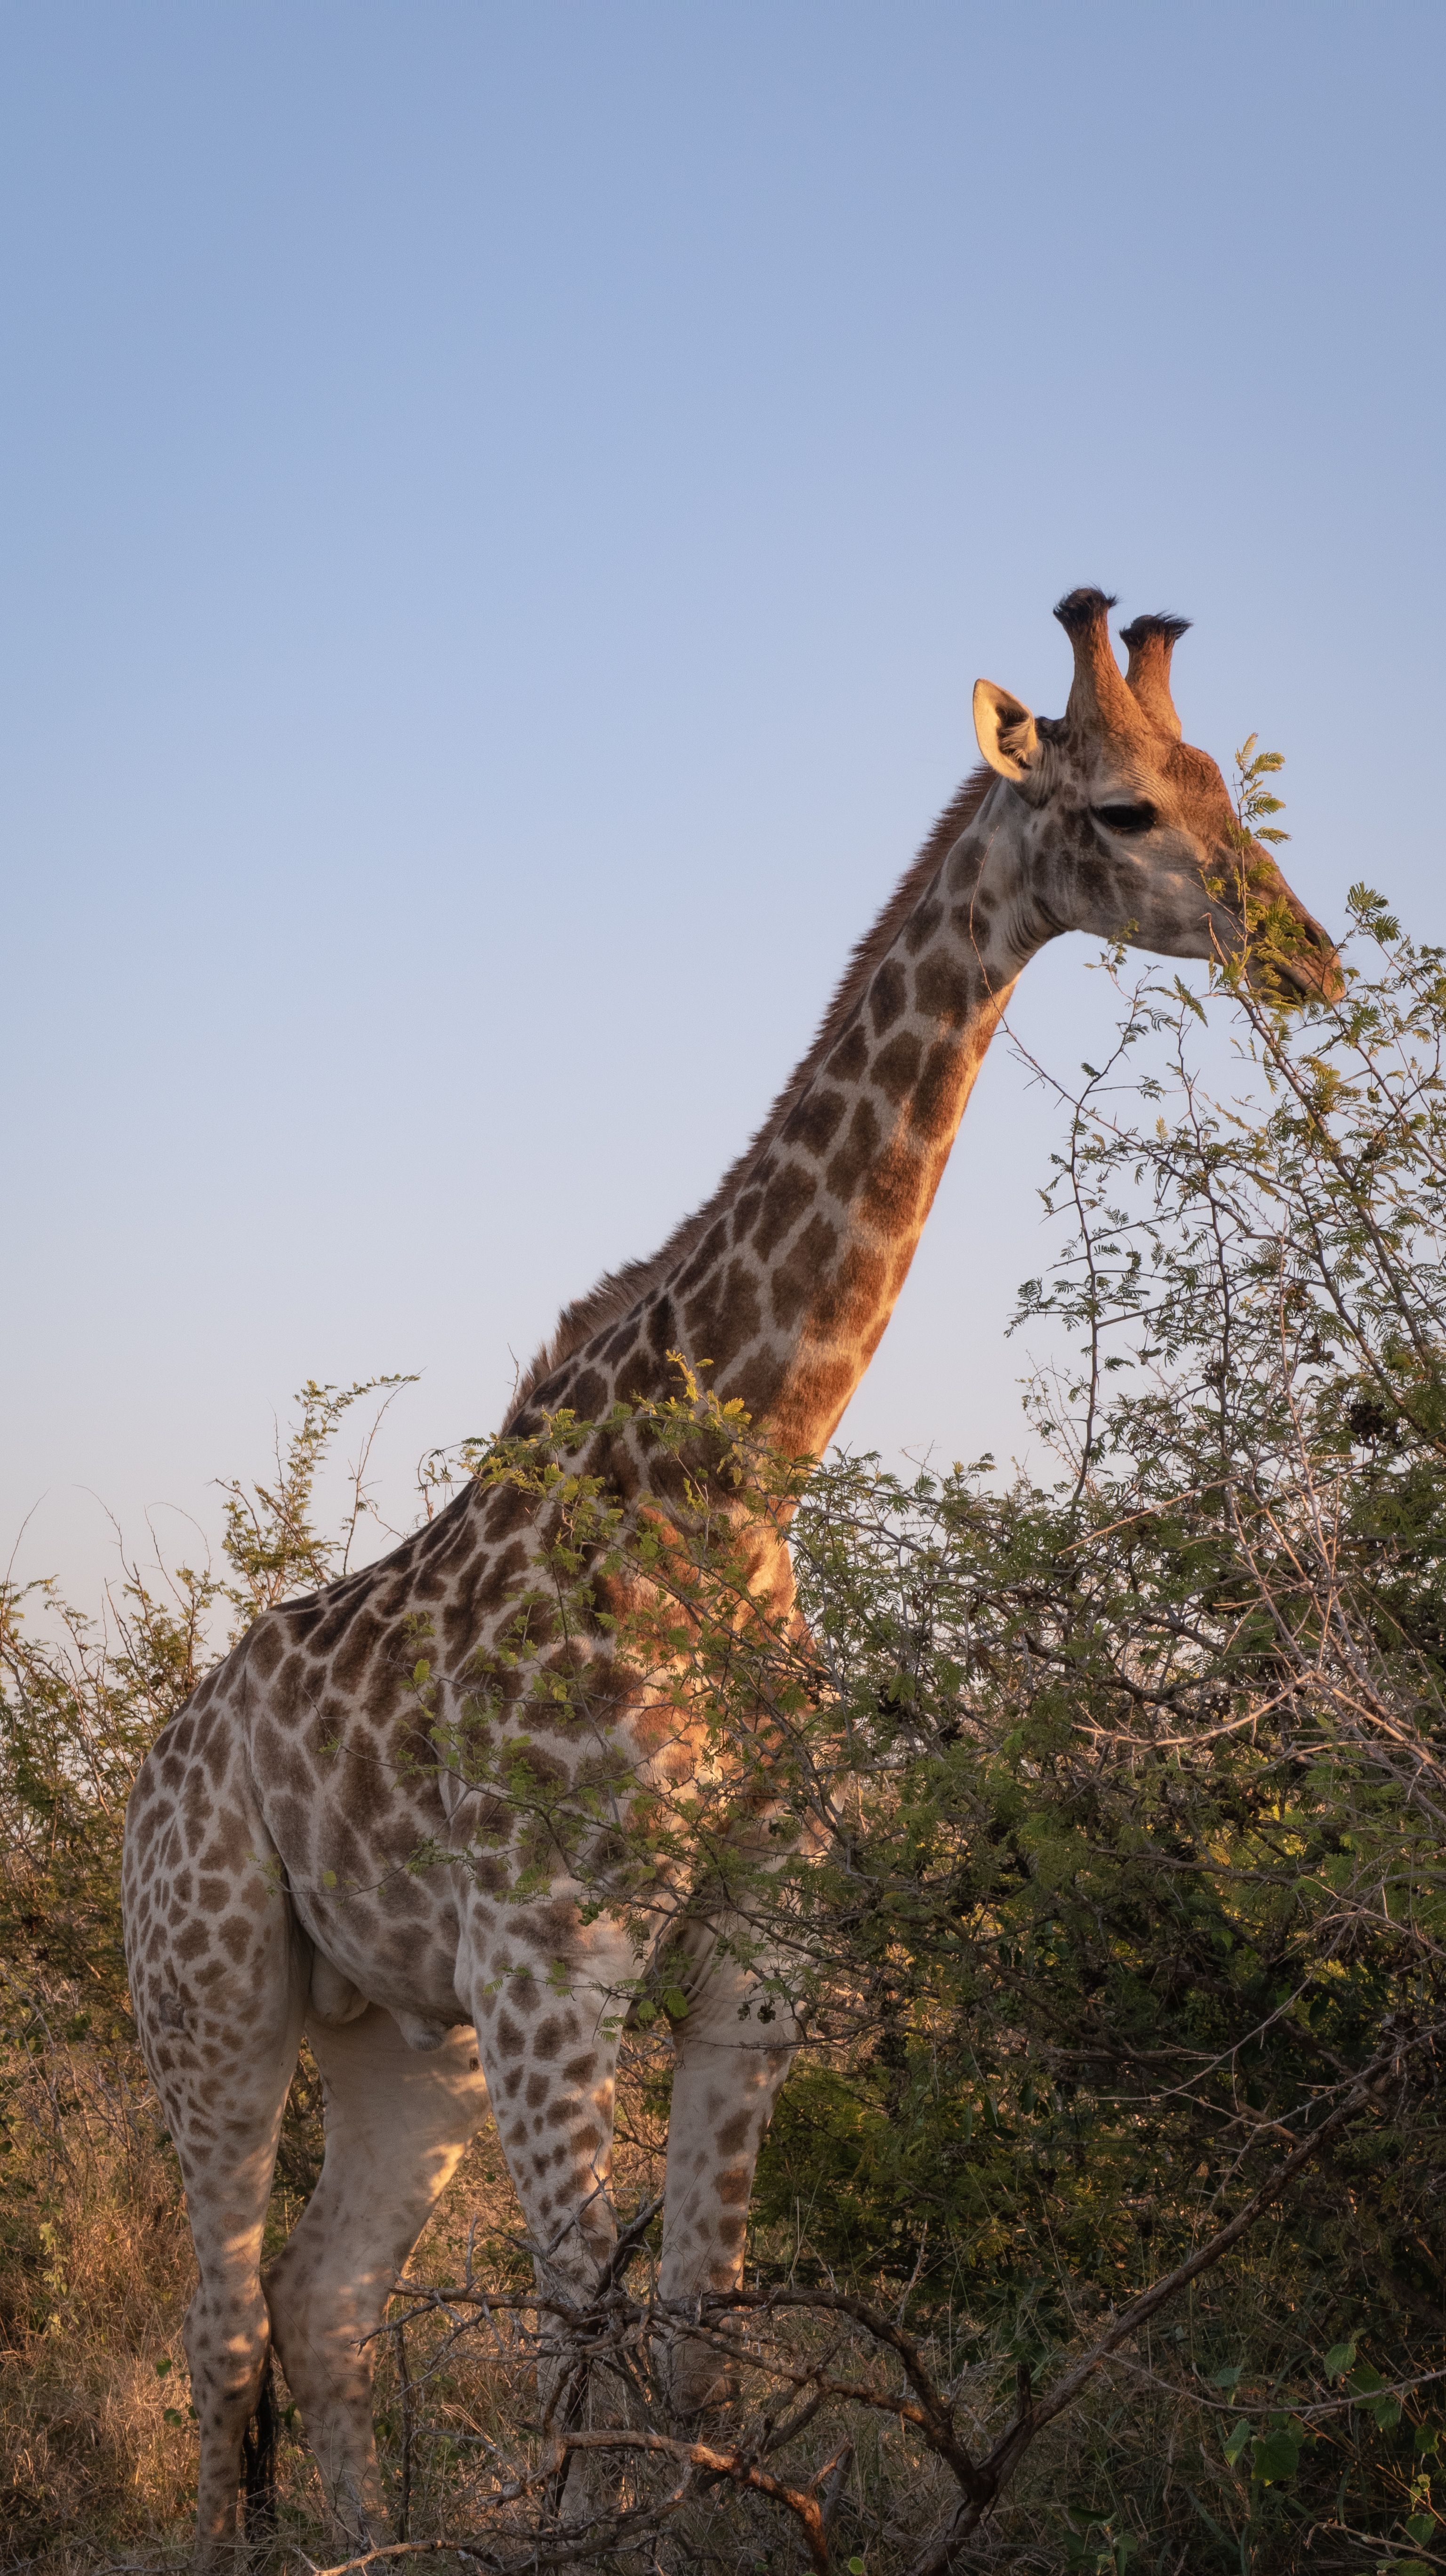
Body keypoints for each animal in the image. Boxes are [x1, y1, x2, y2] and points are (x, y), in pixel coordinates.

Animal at [121, 588, 1340, 2564]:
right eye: (1126, 812)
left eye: (1227, 788)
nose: (1305, 955)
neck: (731, 1482)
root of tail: (152, 1769)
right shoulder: (558, 1947)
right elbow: (581, 2342)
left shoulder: (757, 1947)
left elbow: (695, 2339)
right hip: (213, 1986)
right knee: (221, 2321)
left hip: (402, 2031)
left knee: (323, 2300)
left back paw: (358, 2538)